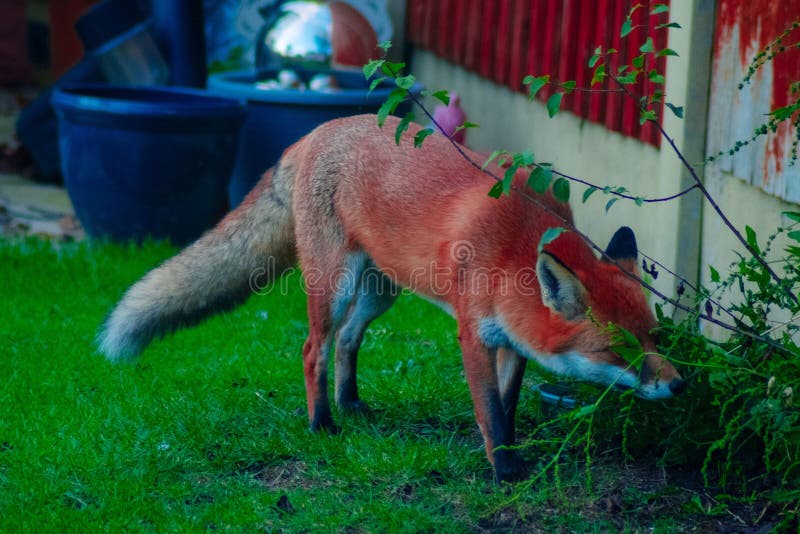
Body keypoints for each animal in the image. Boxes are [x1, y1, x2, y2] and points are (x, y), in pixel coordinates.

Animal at [98, 114, 684, 482]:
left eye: (656, 337)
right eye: (619, 350)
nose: (680, 385)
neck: (514, 244)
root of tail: (314, 133)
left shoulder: (515, 340)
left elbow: (508, 403)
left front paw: (509, 452)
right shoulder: (473, 335)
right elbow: (490, 410)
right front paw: (505, 471)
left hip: (381, 292)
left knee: (347, 341)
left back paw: (351, 403)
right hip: (333, 285)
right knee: (313, 349)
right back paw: (322, 423)